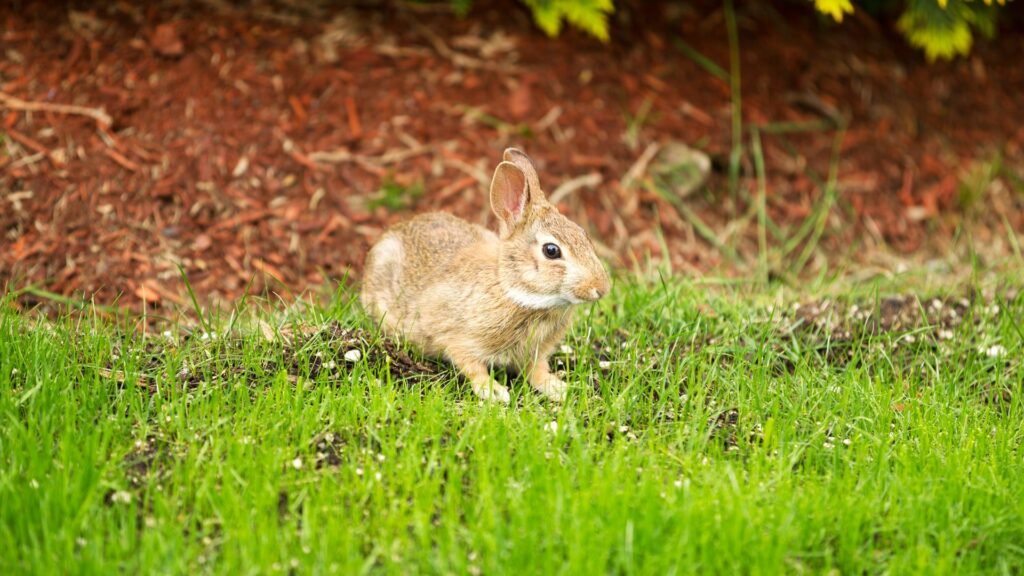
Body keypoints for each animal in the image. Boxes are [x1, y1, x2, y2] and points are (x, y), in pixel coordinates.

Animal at [361, 147, 611, 404]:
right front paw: (494, 391)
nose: (601, 288)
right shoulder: (455, 337)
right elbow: (472, 366)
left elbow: (536, 370)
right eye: (551, 251)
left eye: (583, 234)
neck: (513, 290)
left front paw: (557, 388)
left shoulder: (535, 353)